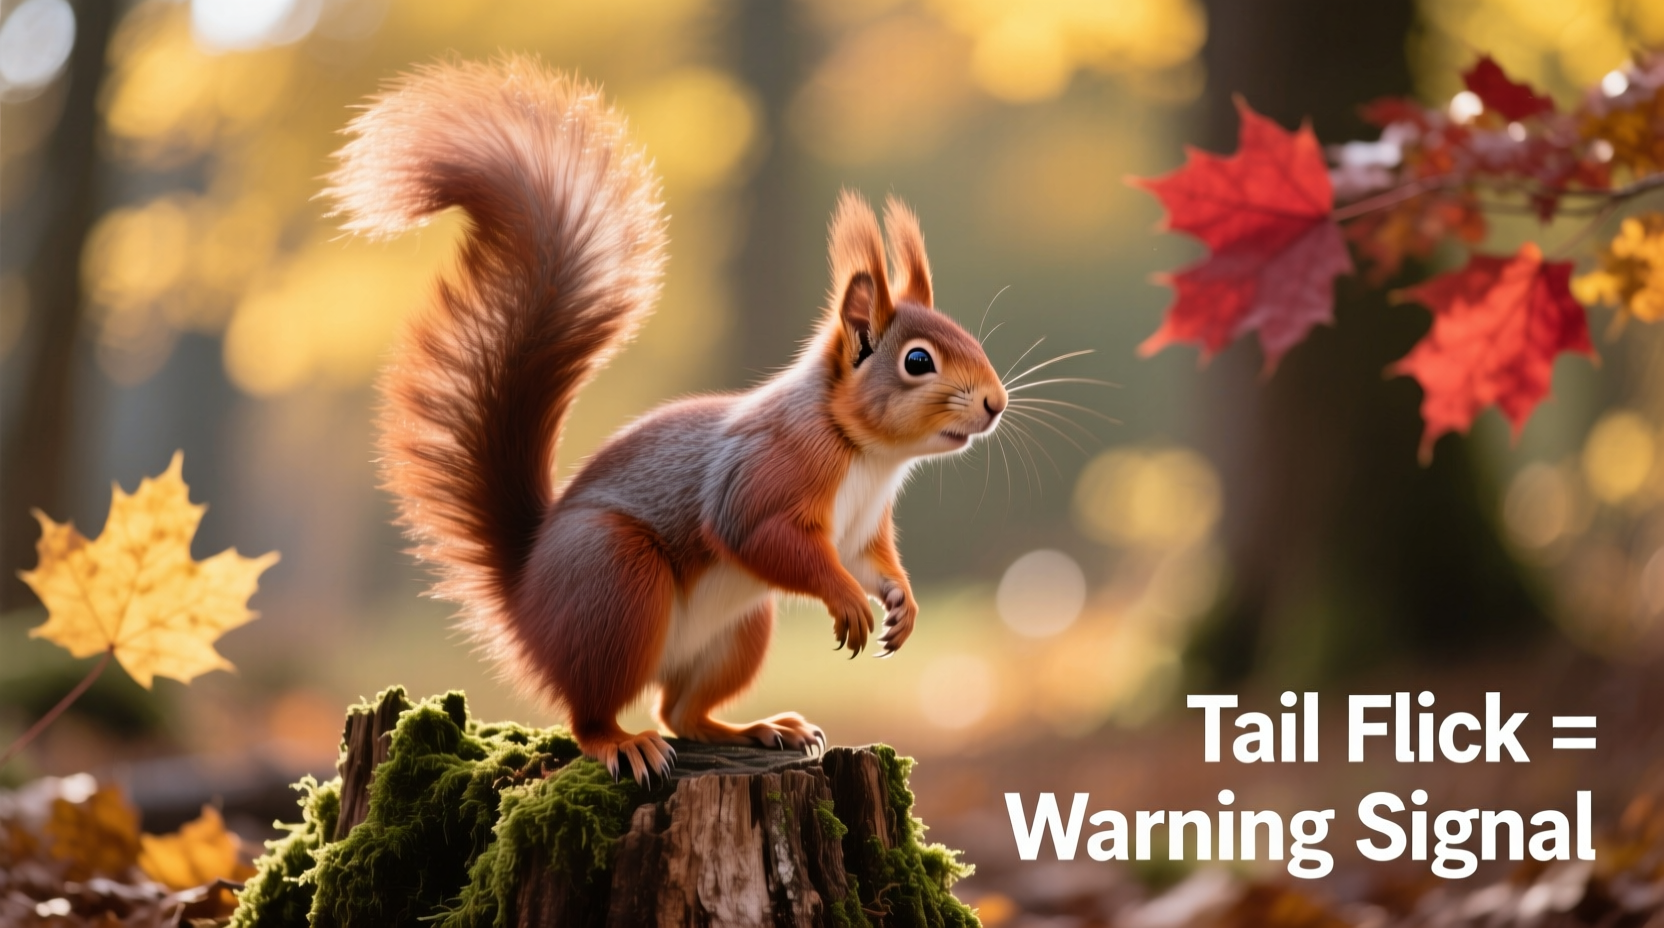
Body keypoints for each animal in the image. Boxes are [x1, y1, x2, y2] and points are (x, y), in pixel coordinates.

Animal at [325, 57, 1008, 783]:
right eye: (917, 360)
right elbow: (764, 537)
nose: (996, 403)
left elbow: (872, 560)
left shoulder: (862, 528)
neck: (865, 454)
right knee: (595, 713)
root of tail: (527, 604)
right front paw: (846, 599)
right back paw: (623, 743)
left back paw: (759, 728)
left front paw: (901, 605)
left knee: (681, 711)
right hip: (616, 583)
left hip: (738, 631)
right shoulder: (764, 474)